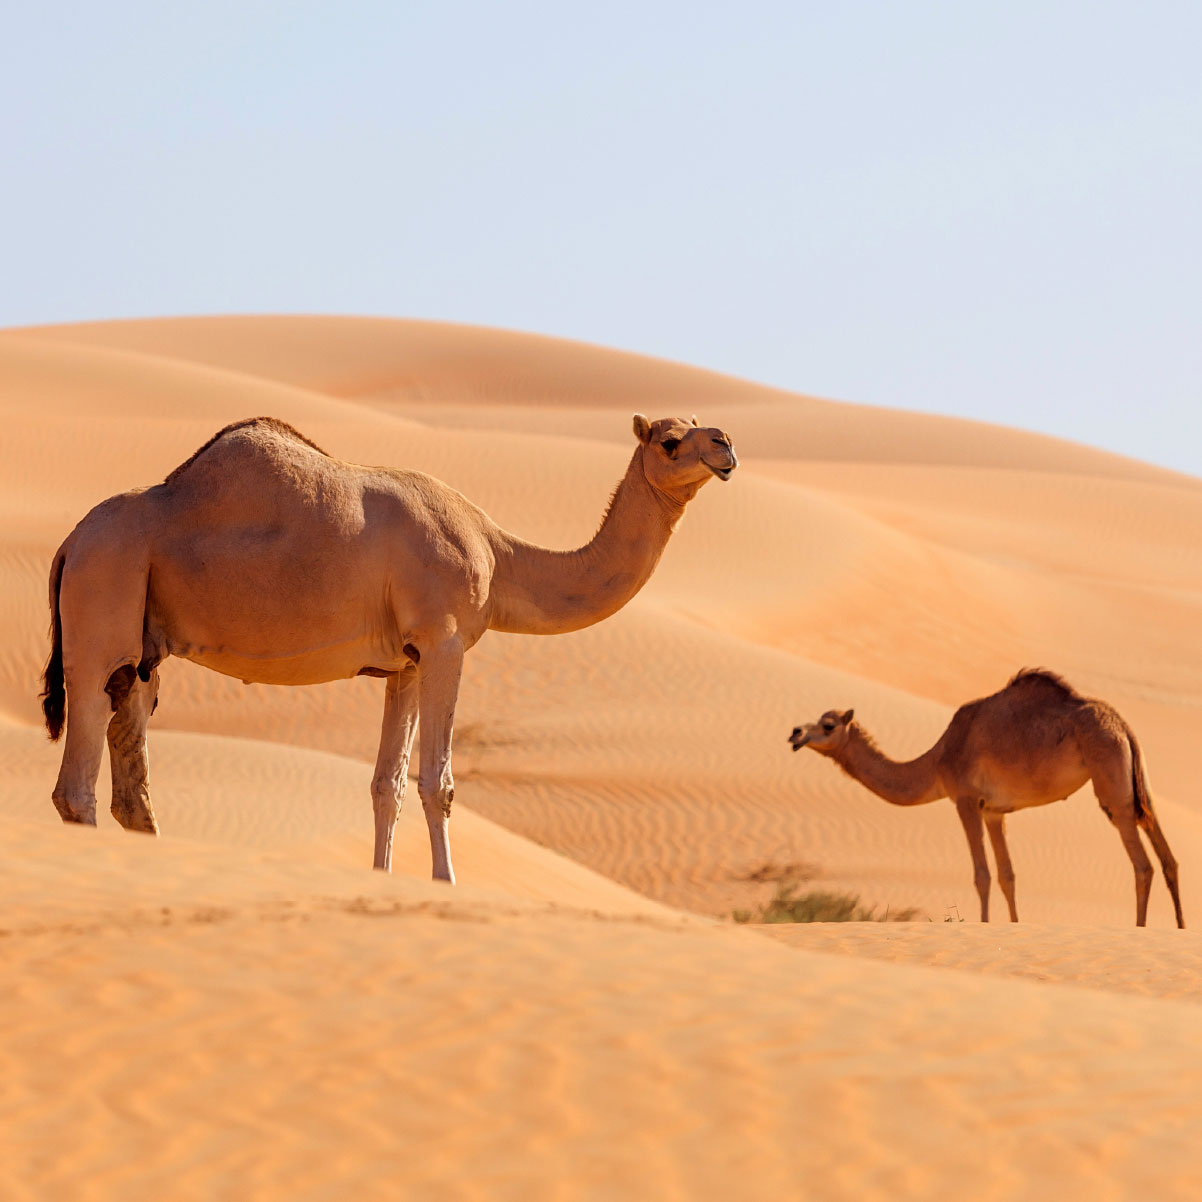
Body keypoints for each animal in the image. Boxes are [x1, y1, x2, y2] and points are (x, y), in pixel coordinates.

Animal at [41, 413, 737, 882]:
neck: (498, 556)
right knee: (76, 783)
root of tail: (70, 542)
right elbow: (439, 782)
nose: (725, 445)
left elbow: (387, 786)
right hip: (104, 596)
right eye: (670, 440)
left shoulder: (405, 662)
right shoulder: (445, 639)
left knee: (131, 783)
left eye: (697, 426)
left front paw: (385, 882)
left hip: (143, 652)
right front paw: (446, 886)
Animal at [788, 670, 1184, 927]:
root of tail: (1123, 725)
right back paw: (1180, 928)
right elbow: (1008, 875)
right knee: (1167, 857)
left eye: (828, 725)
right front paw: (1013, 925)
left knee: (1142, 864)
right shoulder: (995, 811)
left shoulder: (965, 798)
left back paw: (1140, 929)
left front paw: (983, 925)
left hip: (1109, 776)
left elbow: (982, 874)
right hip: (1136, 780)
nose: (795, 733)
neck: (937, 760)